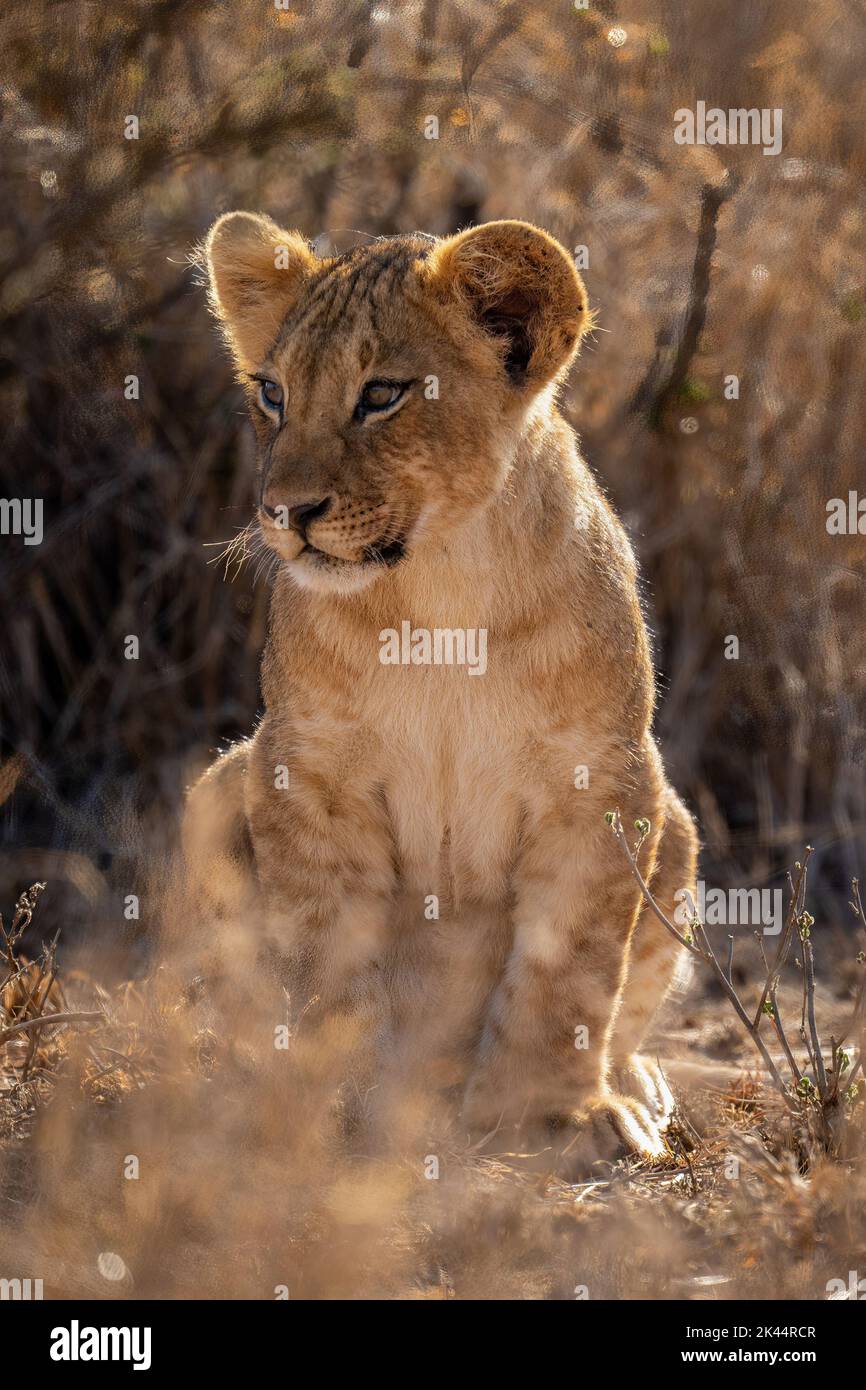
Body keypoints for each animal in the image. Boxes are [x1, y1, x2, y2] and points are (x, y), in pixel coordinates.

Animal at [182, 212, 699, 1170]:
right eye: (271, 392)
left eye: (383, 394)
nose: (285, 511)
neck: (442, 587)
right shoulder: (304, 772)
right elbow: (327, 955)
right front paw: (334, 1098)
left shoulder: (604, 783)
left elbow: (569, 971)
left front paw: (553, 1114)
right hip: (221, 779)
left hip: (678, 824)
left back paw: (634, 1087)